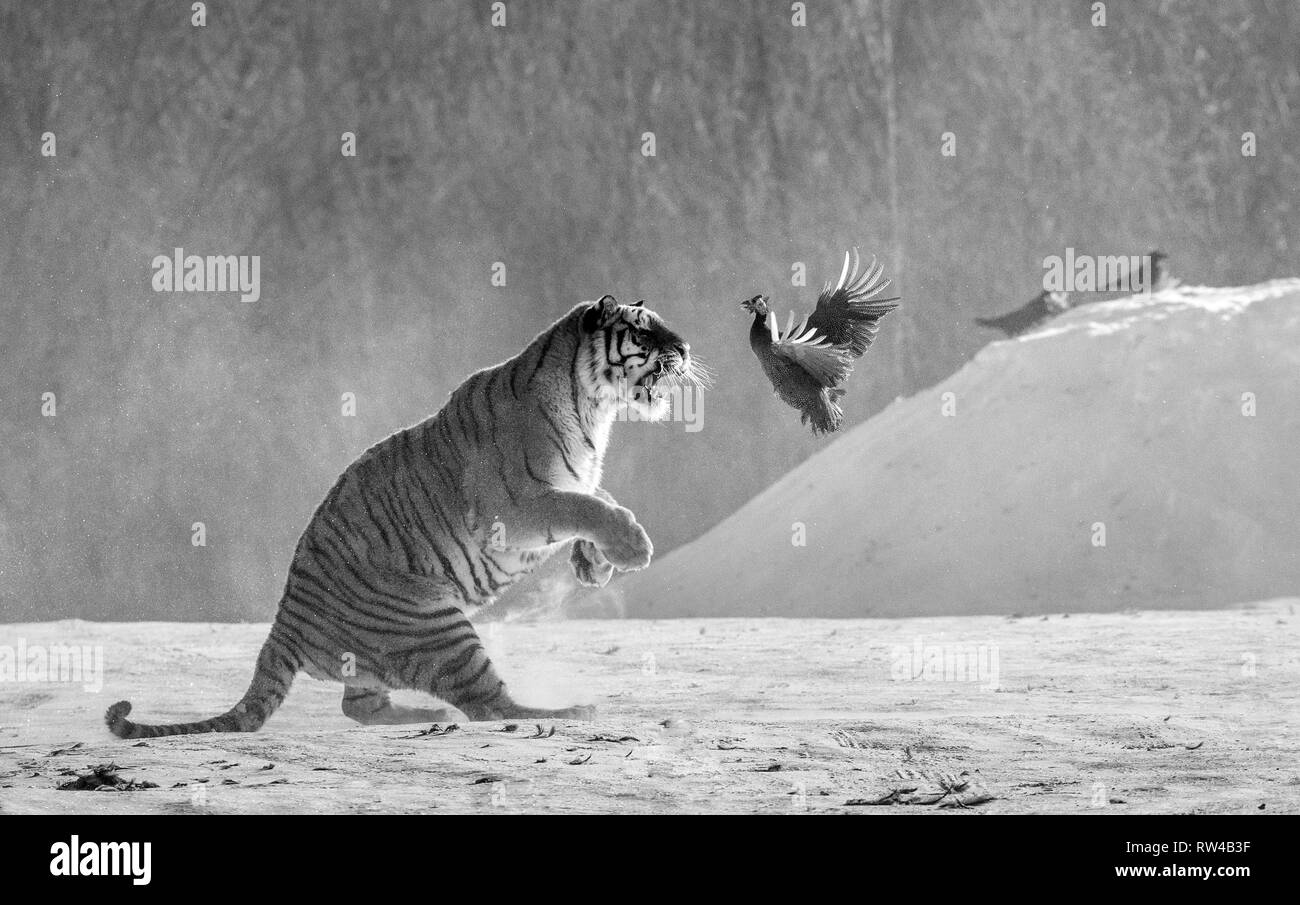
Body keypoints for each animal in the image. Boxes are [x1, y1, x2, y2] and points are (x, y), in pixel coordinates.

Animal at [106, 294, 694, 737]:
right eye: (642, 333)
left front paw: (596, 565)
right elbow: (588, 506)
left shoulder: (569, 487)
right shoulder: (515, 506)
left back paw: (423, 713)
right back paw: (568, 711)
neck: (596, 408)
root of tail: (283, 624)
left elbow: (599, 503)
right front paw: (632, 548)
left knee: (360, 705)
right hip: (437, 624)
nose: (687, 347)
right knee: (488, 706)